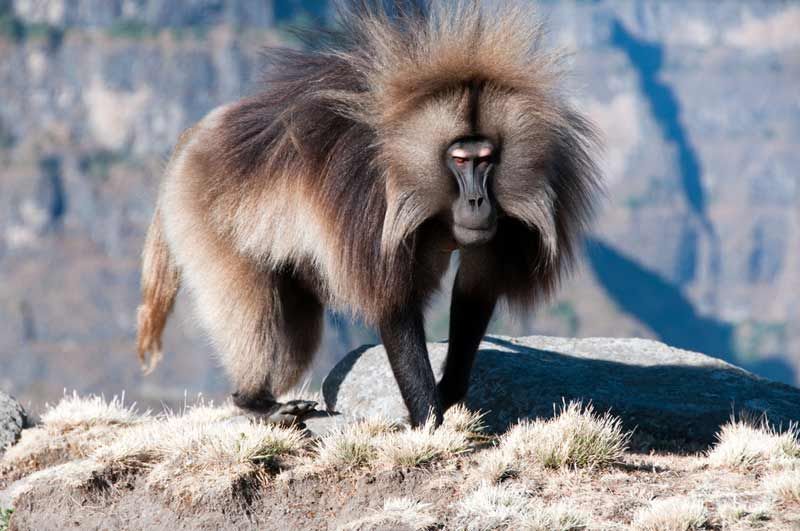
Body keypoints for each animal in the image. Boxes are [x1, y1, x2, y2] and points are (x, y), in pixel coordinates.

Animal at [136, 1, 602, 428]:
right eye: (460, 160)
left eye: (486, 159)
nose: (476, 202)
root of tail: (193, 138)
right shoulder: (376, 211)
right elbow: (393, 306)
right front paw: (430, 421)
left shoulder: (502, 226)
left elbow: (474, 291)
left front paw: (450, 392)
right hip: (202, 217)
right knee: (252, 310)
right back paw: (255, 402)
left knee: (297, 329)